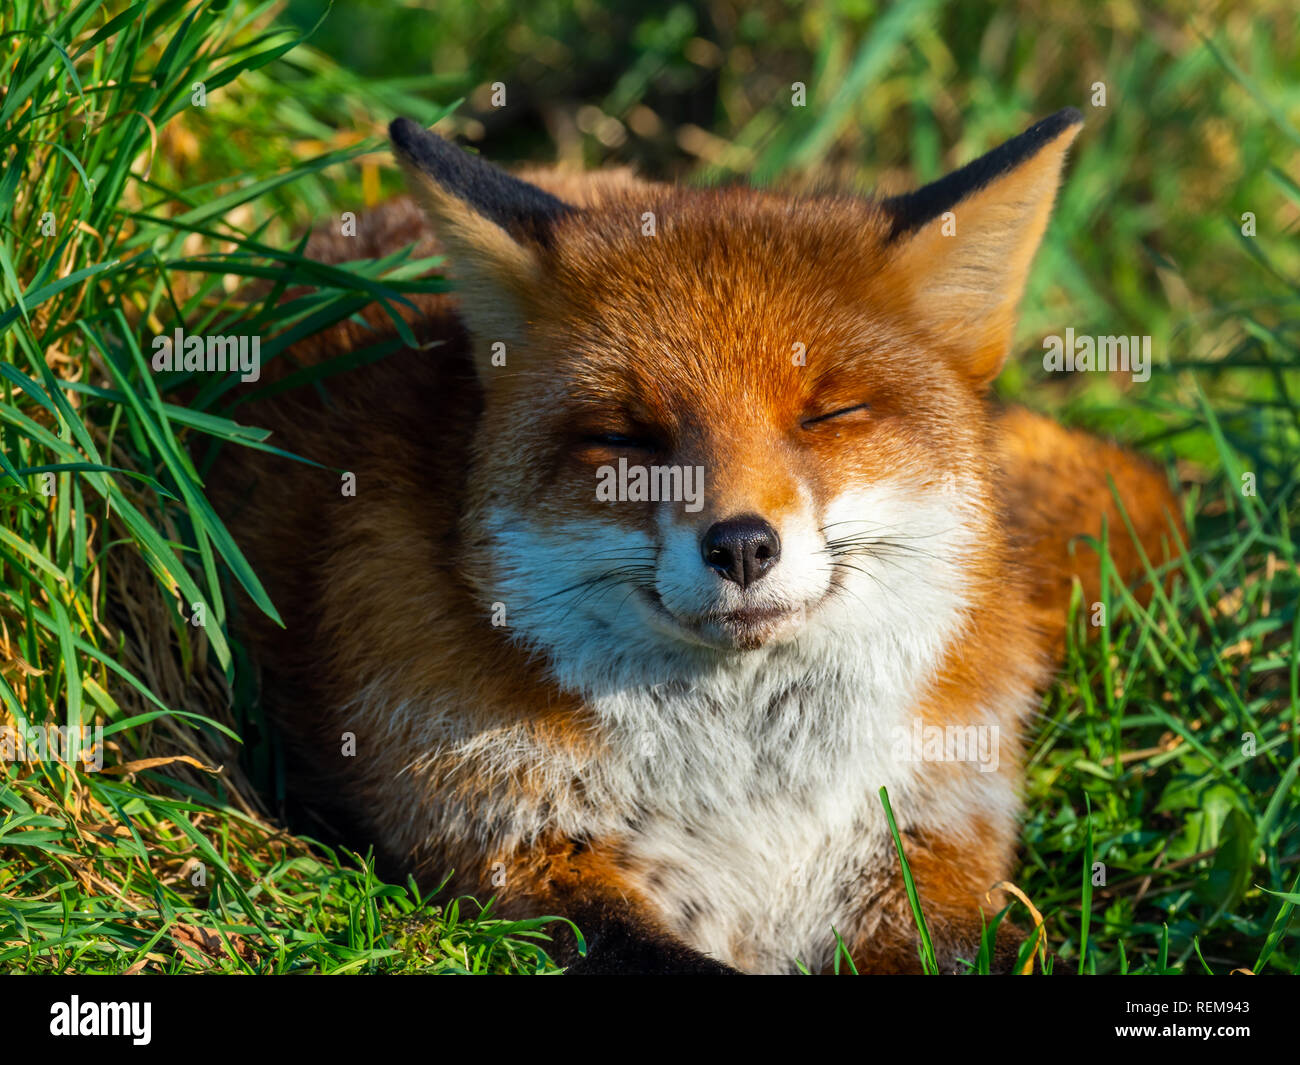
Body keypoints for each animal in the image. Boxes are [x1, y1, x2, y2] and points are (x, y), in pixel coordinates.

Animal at [212, 107, 1182, 974]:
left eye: (830, 412)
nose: (742, 544)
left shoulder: (928, 854)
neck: (755, 814)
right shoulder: (517, 863)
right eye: (627, 437)